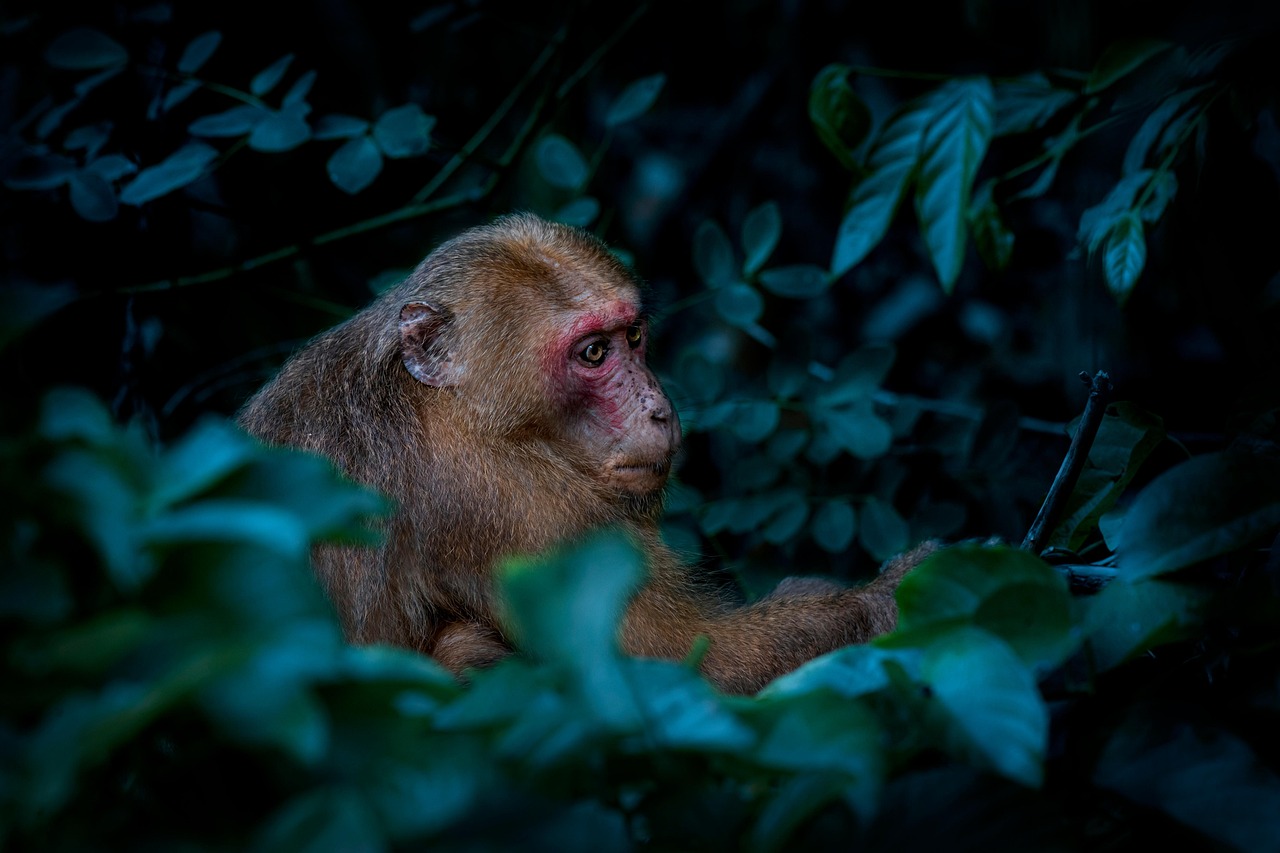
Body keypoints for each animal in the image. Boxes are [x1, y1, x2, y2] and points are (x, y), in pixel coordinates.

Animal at [238, 213, 935, 695]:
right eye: (593, 354)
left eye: (633, 336)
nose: (658, 408)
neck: (453, 405)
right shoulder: (515, 503)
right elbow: (693, 669)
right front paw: (892, 597)